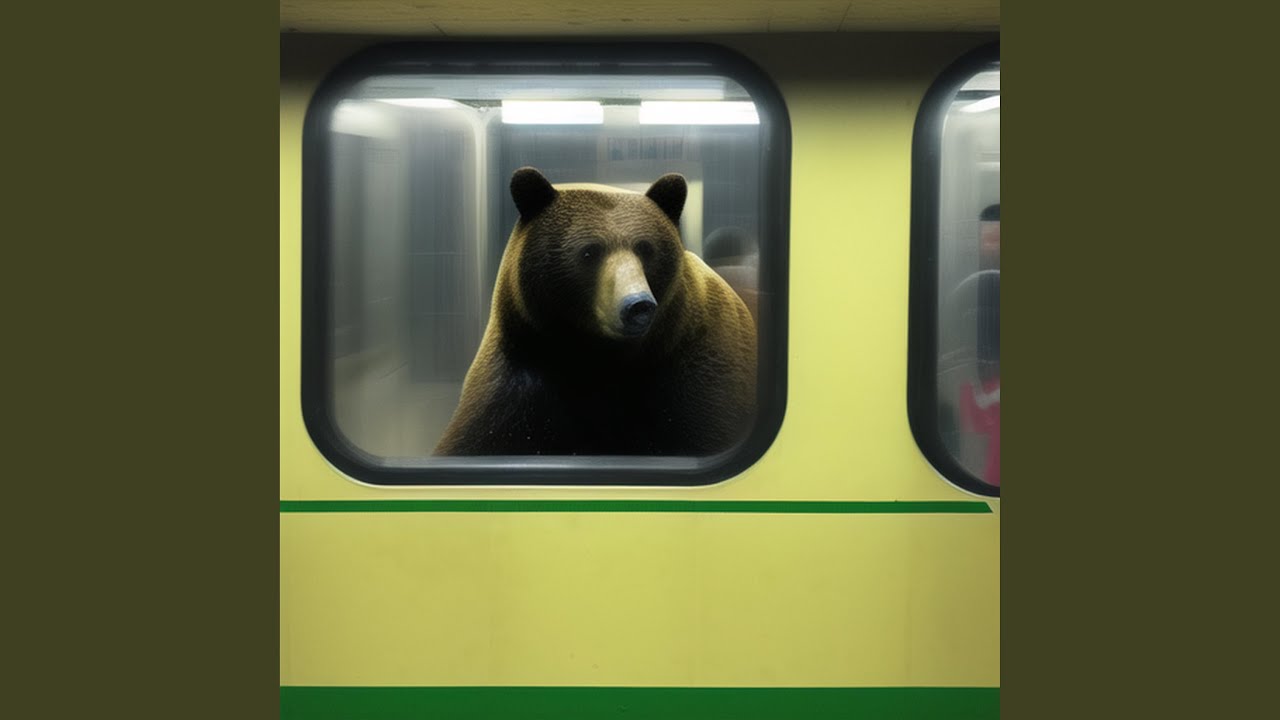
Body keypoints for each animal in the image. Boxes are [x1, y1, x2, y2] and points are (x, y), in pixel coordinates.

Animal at [434, 166, 757, 456]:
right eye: (589, 251)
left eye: (646, 248)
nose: (638, 305)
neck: (594, 360)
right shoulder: (517, 375)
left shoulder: (696, 368)